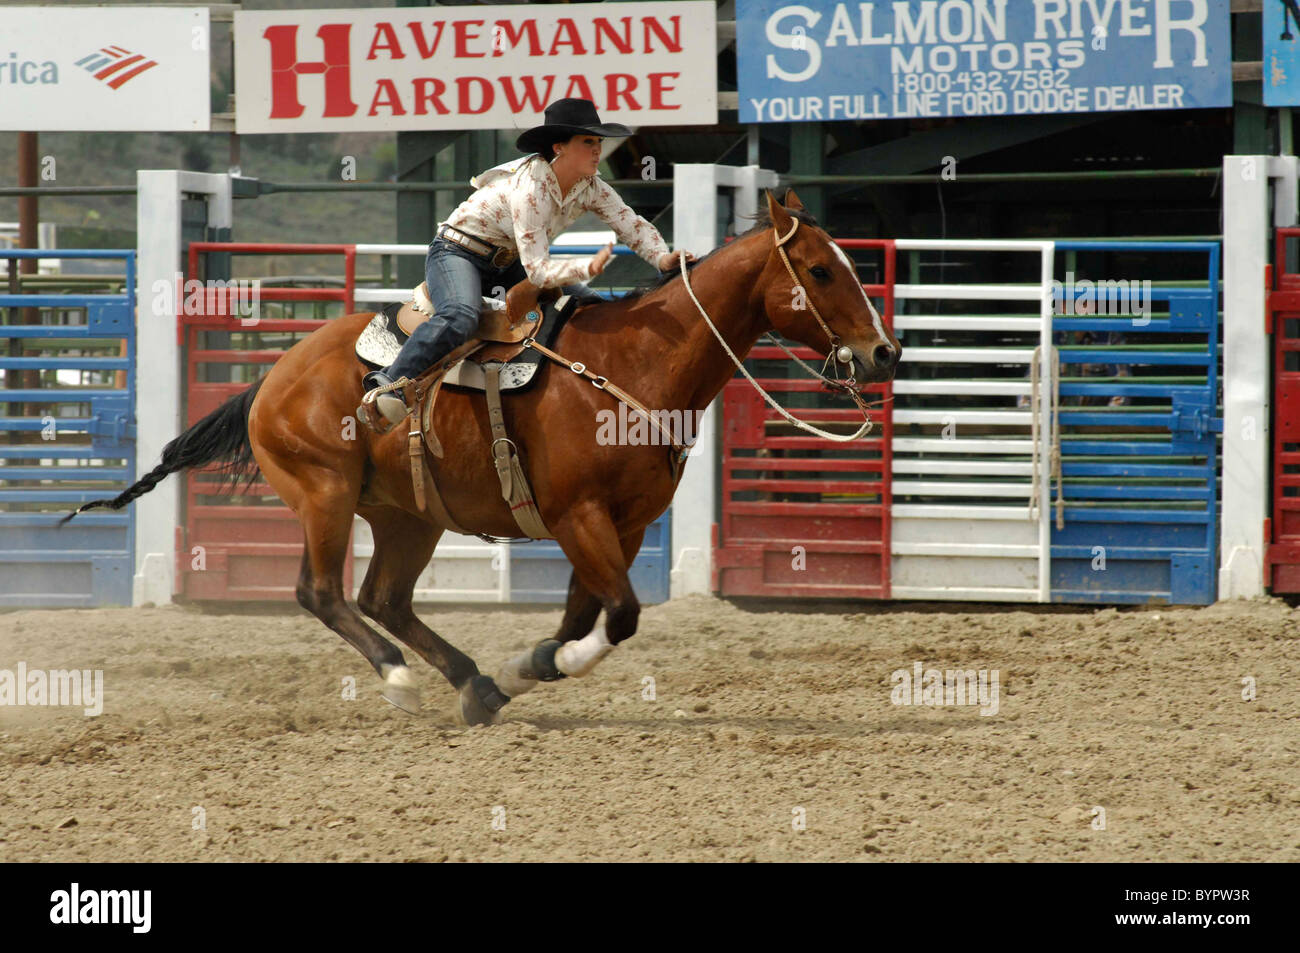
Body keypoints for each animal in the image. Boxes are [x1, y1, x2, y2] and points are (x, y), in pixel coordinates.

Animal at [65, 189, 901, 726]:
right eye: (821, 270)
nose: (884, 352)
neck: (633, 364)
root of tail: (270, 377)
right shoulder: (578, 516)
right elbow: (621, 614)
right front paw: (542, 669)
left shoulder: (622, 525)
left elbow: (582, 614)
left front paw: (521, 674)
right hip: (324, 494)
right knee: (322, 592)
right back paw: (400, 680)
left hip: (408, 514)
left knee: (383, 597)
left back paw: (470, 680)